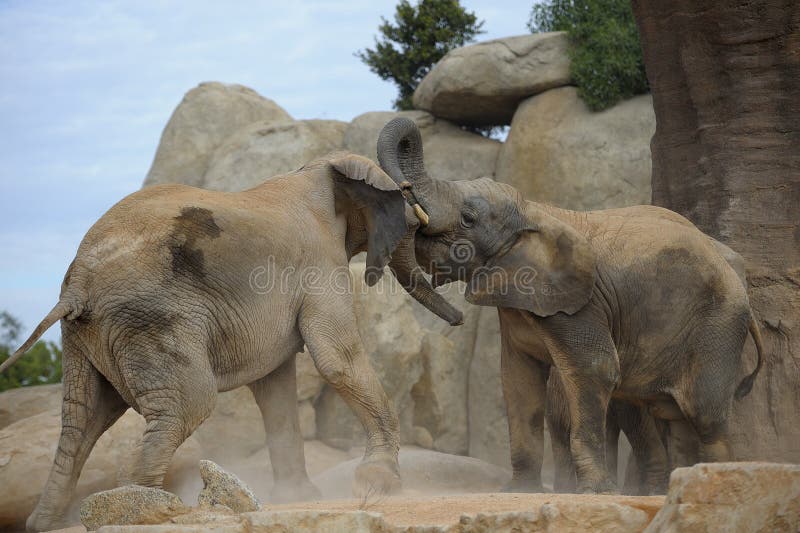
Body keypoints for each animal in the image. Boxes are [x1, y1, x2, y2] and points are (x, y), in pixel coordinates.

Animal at [0, 151, 462, 531]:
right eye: (412, 223)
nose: (459, 318)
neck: (320, 171)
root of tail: (77, 282)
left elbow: (276, 388)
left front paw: (299, 497)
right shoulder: (319, 264)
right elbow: (337, 359)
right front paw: (381, 482)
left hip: (87, 334)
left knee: (82, 419)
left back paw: (47, 522)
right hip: (152, 317)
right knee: (188, 403)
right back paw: (146, 507)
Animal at [375, 117, 765, 493]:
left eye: (468, 218)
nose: (456, 320)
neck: (533, 210)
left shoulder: (582, 304)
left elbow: (595, 370)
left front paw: (595, 492)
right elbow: (518, 380)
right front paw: (520, 491)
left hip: (719, 324)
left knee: (704, 412)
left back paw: (711, 477)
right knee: (667, 413)